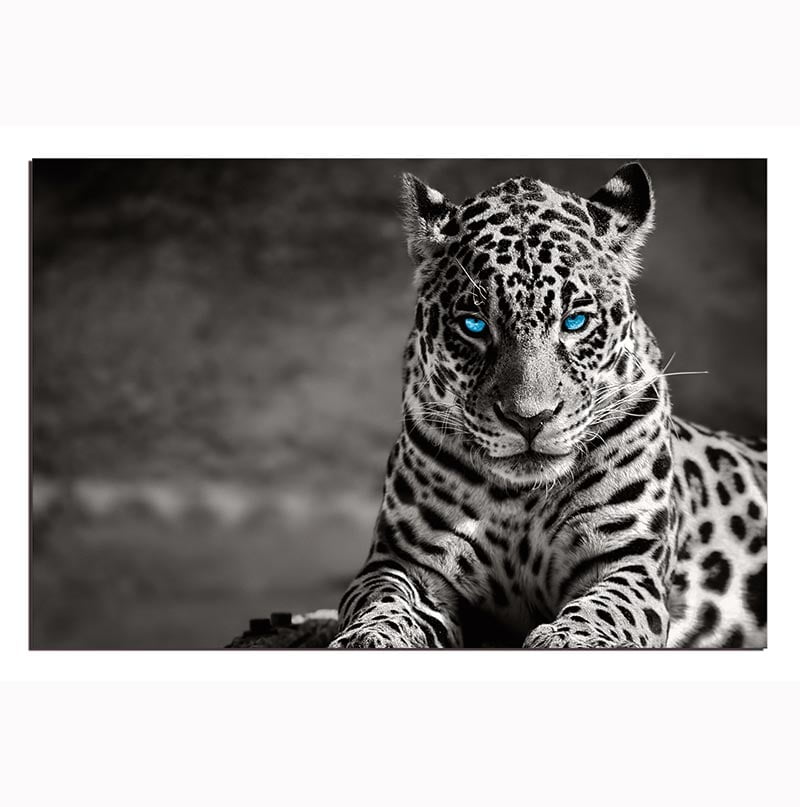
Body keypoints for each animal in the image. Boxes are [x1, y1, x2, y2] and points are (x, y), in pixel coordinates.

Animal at [329, 162, 767, 649]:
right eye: (474, 325)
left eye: (575, 321)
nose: (529, 419)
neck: (522, 500)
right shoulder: (402, 561)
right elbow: (382, 601)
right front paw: (368, 638)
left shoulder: (628, 562)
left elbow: (605, 609)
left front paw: (570, 639)